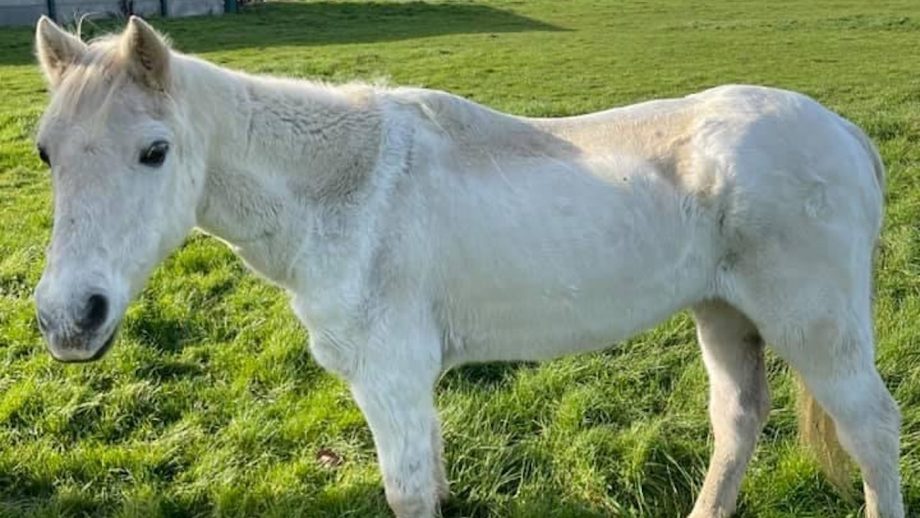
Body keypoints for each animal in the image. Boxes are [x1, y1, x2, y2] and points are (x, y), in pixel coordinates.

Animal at [31, 16, 902, 518]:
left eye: (154, 151)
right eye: (44, 152)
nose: (69, 318)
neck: (350, 191)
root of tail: (843, 132)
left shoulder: (390, 379)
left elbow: (410, 490)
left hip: (816, 327)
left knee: (871, 428)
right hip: (724, 314)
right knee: (737, 420)